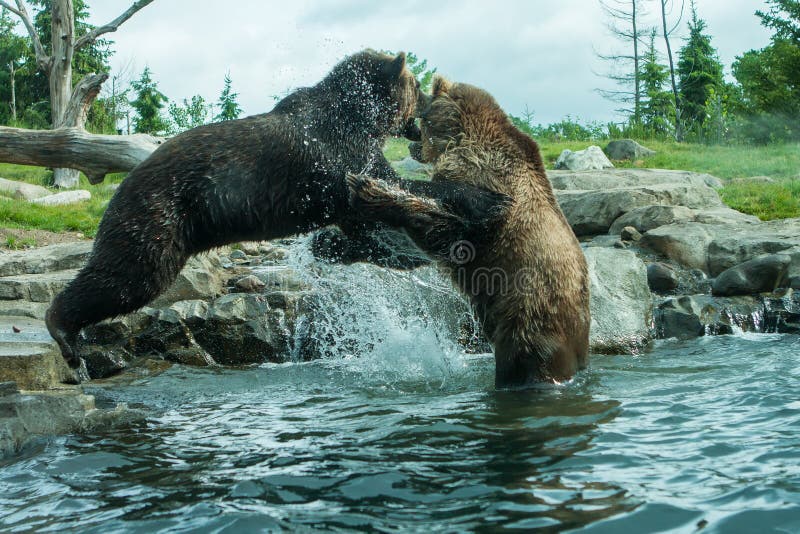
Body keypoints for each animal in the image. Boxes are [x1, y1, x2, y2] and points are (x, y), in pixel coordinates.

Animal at [45, 51, 509, 373]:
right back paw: (65, 334)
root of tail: (121, 183)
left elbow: (368, 229)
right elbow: (389, 190)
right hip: (160, 213)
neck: (358, 115)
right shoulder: (340, 153)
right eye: (416, 85)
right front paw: (480, 199)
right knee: (128, 276)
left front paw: (341, 246)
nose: (426, 104)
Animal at [346, 76, 591, 386]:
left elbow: (448, 232)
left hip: (529, 318)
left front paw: (368, 190)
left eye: (425, 100)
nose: (411, 137)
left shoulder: (489, 199)